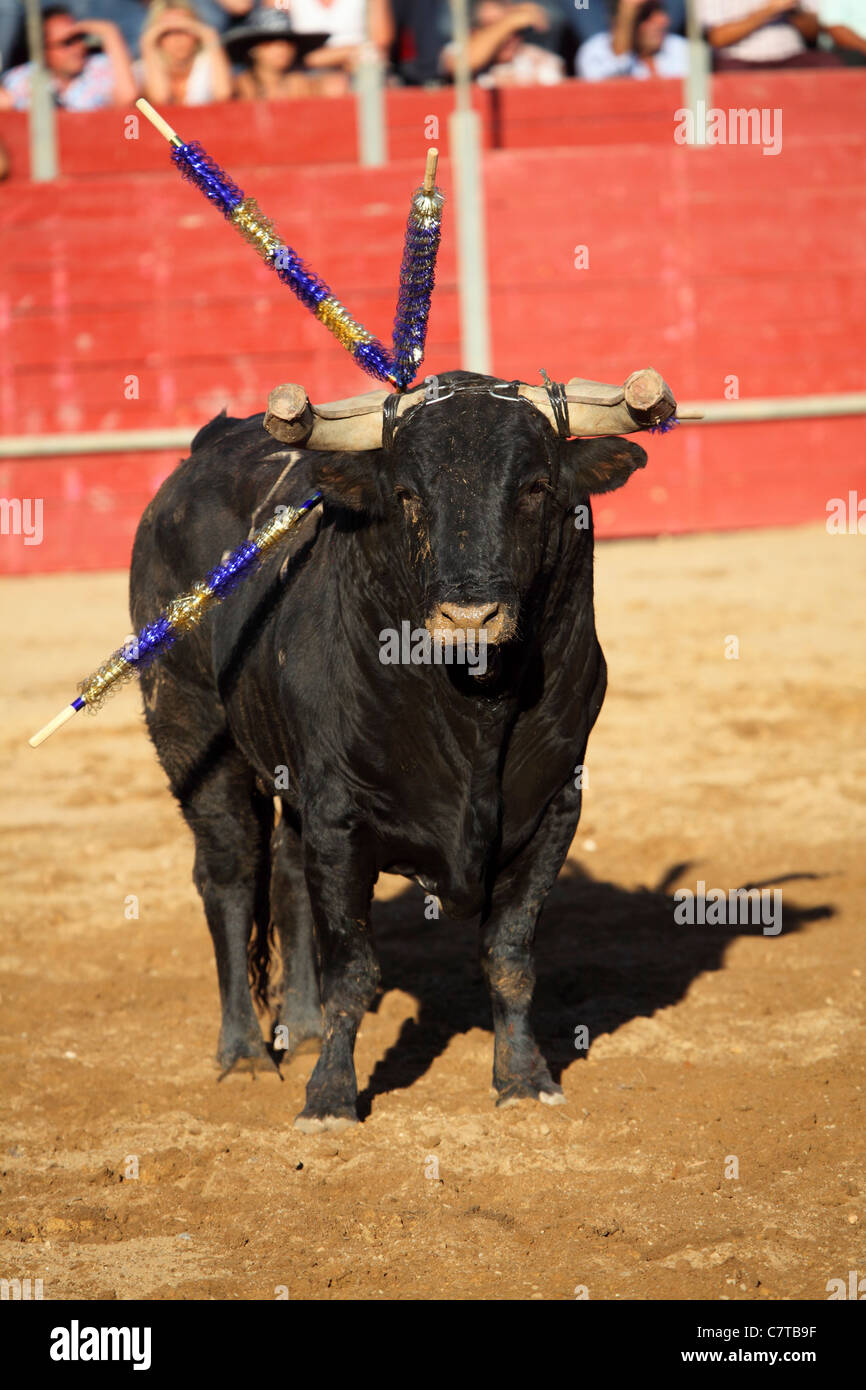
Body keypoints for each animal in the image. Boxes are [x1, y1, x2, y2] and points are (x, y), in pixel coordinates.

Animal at [129, 369, 656, 1132]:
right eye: (407, 494)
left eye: (535, 487)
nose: (469, 616)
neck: (474, 708)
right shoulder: (340, 816)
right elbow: (353, 967)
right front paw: (329, 1099)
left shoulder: (556, 808)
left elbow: (510, 954)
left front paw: (524, 1080)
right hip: (193, 731)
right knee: (229, 875)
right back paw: (247, 1054)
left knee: (288, 876)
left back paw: (302, 1026)